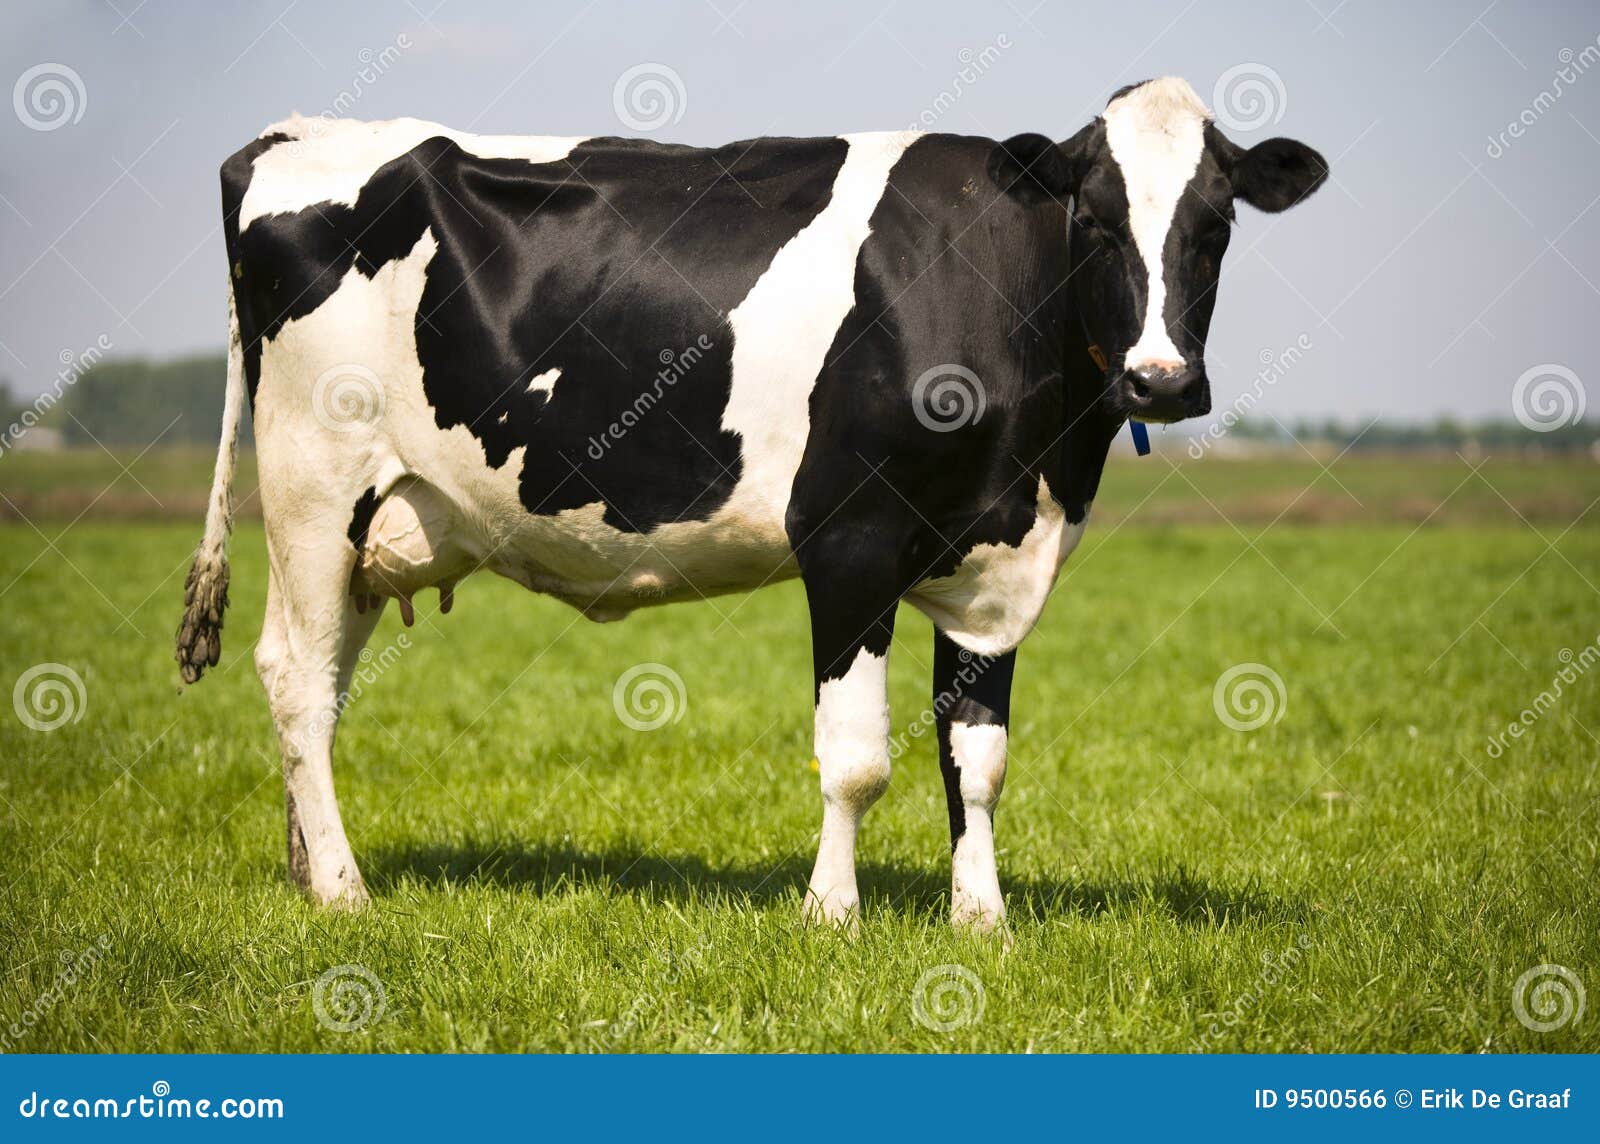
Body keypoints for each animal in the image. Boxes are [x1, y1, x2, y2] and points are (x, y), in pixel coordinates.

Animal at [176, 76, 1326, 931]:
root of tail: (292, 133)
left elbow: (979, 760)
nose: (1160, 381)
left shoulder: (999, 565)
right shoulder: (850, 540)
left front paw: (981, 920)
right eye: (1095, 220)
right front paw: (832, 915)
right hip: (314, 485)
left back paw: (306, 869)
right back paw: (343, 892)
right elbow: (857, 760)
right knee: (295, 678)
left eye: (1215, 225)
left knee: (324, 684)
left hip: (379, 521)